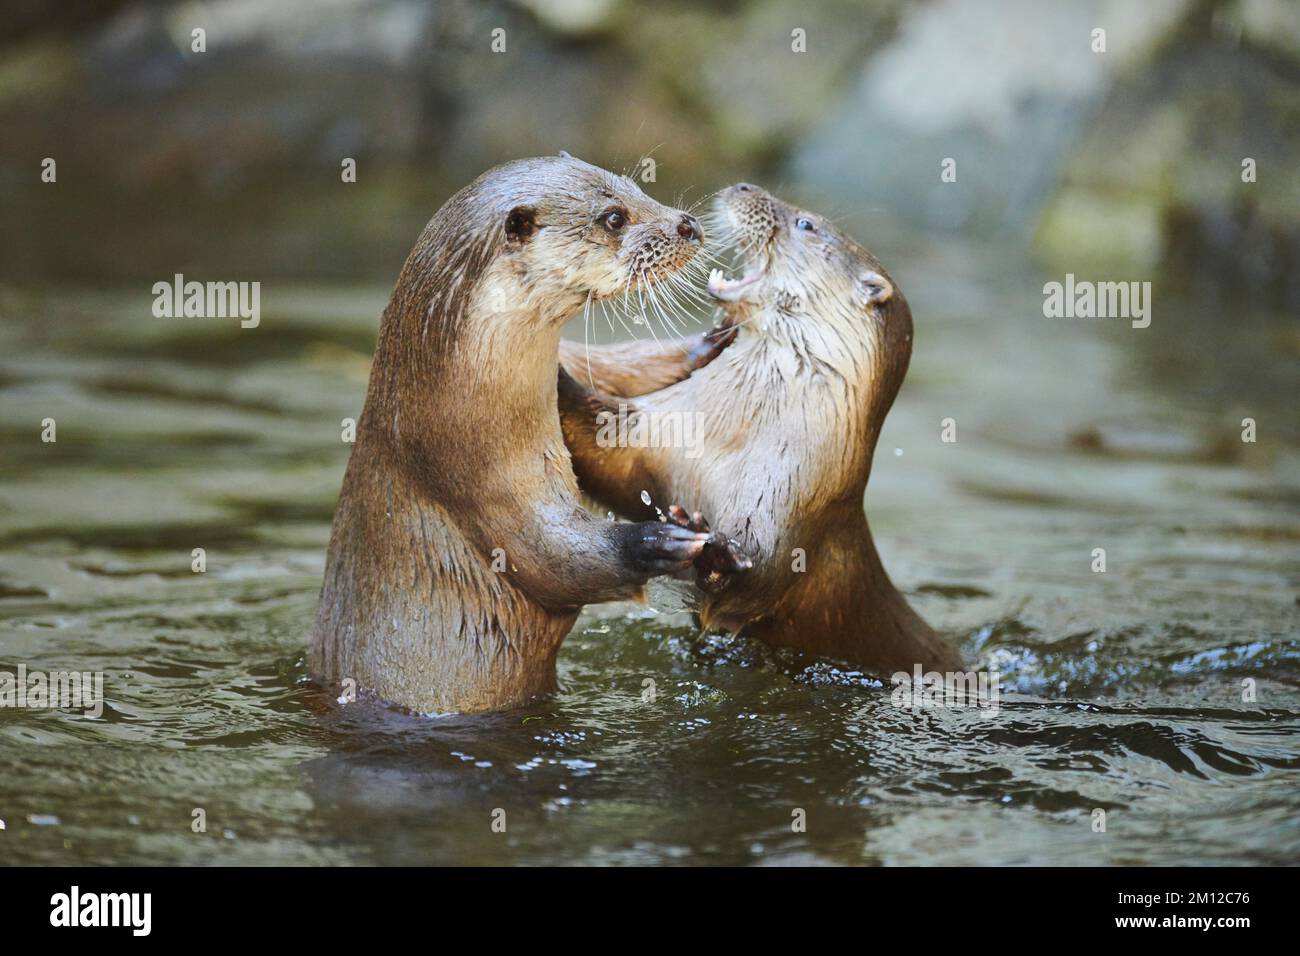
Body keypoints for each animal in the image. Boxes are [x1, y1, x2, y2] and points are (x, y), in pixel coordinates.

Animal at [310, 155, 745, 714]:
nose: (687, 224)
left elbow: (612, 375)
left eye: (635, 187)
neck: (458, 398)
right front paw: (659, 538)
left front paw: (705, 343)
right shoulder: (481, 476)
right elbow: (550, 560)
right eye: (614, 218)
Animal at [557, 183, 962, 675]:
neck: (729, 438)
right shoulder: (652, 436)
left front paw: (712, 550)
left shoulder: (787, 513)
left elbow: (754, 586)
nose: (743, 186)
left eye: (806, 224)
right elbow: (603, 450)